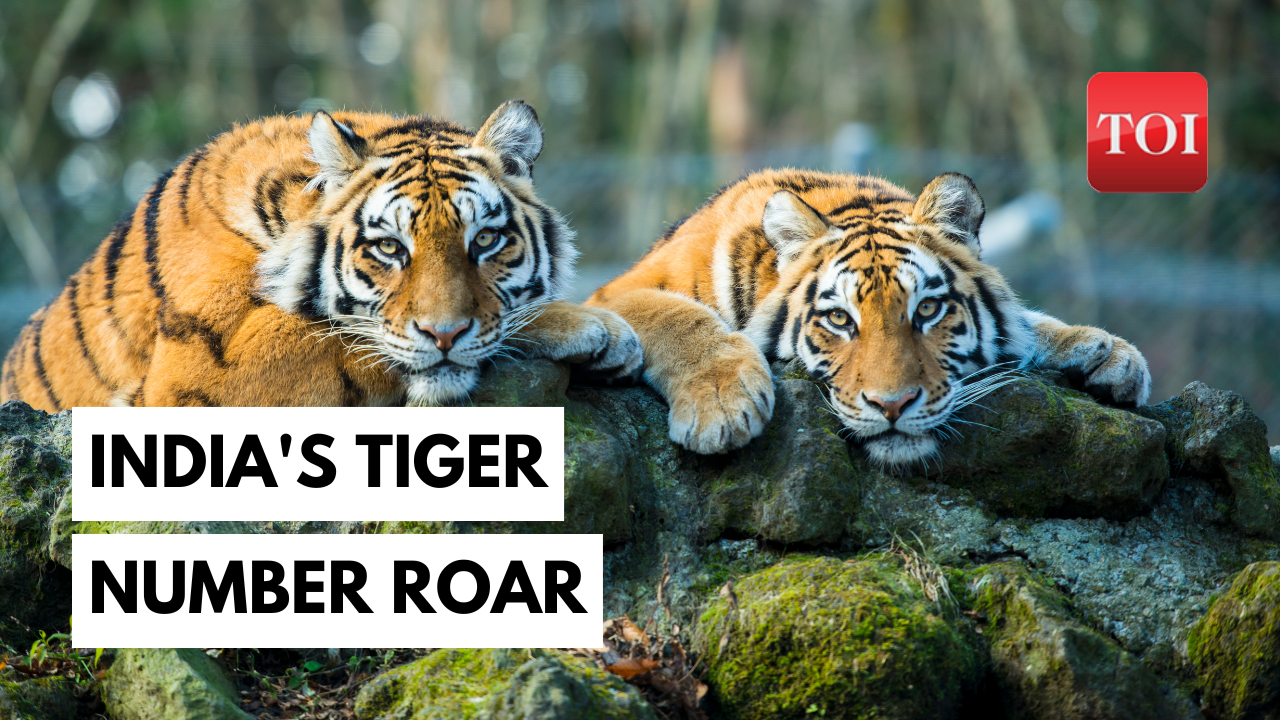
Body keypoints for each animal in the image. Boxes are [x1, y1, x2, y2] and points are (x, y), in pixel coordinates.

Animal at [2, 100, 641, 410]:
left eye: (484, 240)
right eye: (389, 248)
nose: (445, 335)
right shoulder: (193, 374)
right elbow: (347, 338)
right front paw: (595, 326)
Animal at [586, 170, 1150, 465]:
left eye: (927, 309)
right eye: (839, 320)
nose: (892, 406)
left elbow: (1027, 323)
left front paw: (1108, 353)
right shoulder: (614, 293)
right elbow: (680, 316)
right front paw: (721, 405)